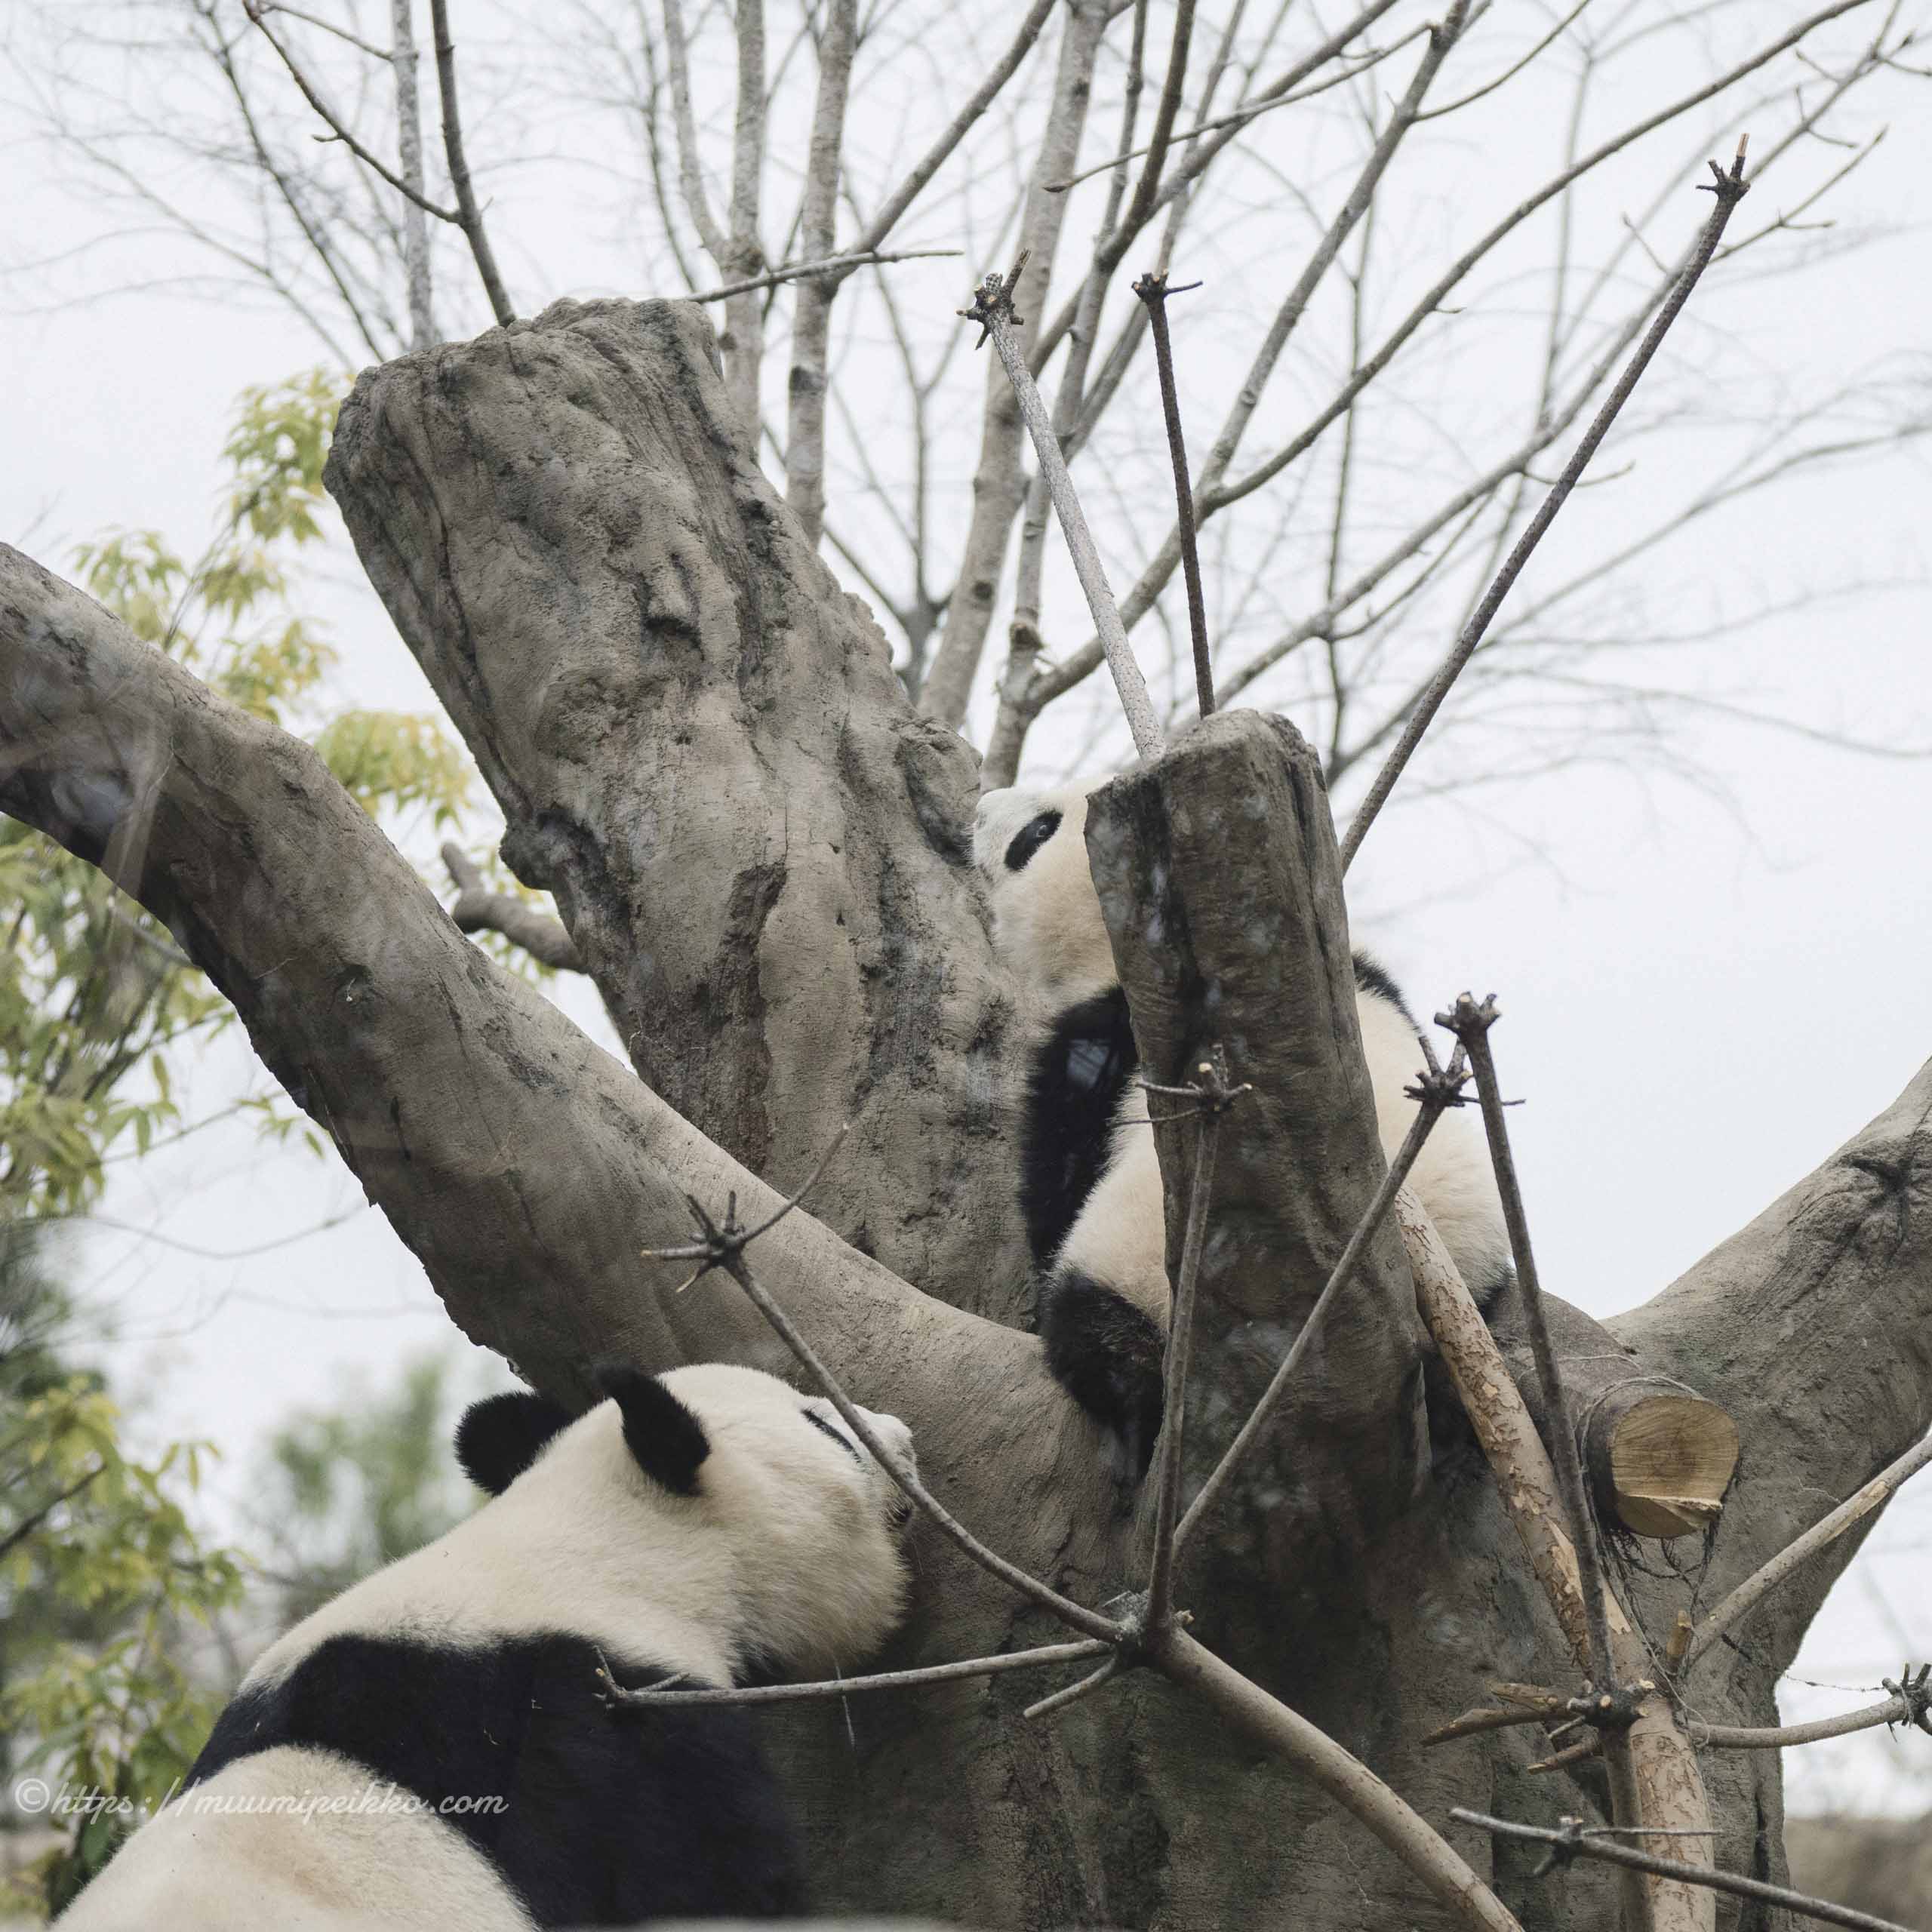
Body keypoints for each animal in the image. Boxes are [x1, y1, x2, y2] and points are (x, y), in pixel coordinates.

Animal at [974, 781, 1512, 1477]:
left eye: (1037, 832)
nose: (979, 808)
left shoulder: (1105, 1048)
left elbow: (1059, 1172)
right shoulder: (1373, 985)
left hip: (1135, 1266)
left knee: (1097, 1326)